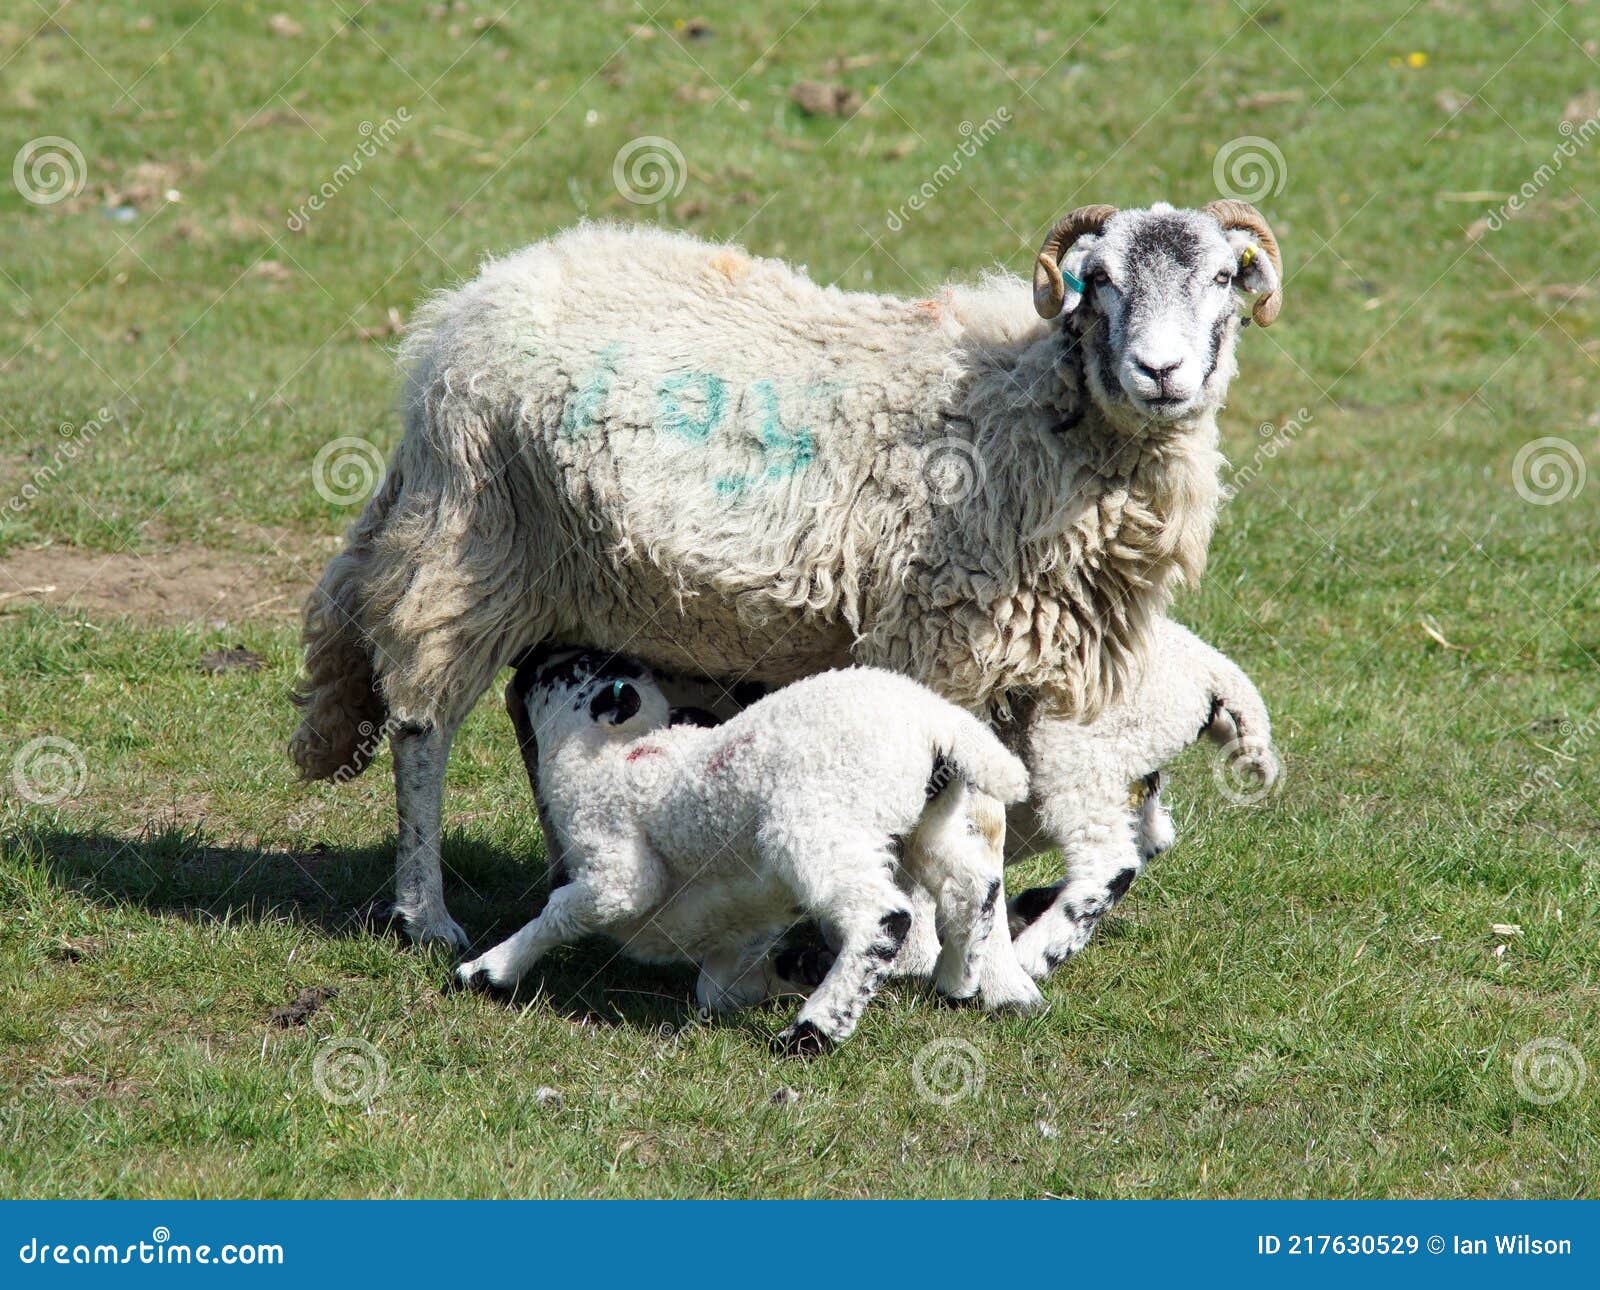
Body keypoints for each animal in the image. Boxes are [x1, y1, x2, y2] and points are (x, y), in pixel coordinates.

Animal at [289, 200, 1285, 995]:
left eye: (1223, 279)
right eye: (1101, 281)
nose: (1161, 373)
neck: (1036, 409)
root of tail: (463, 307)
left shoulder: (1018, 669)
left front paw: (970, 958)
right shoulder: (938, 644)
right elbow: (976, 825)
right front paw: (947, 960)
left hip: (576, 577)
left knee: (524, 710)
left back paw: (565, 863)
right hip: (471, 542)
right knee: (423, 728)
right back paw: (426, 913)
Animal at [455, 651, 1030, 1053]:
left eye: (571, 669)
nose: (530, 656)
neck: (607, 760)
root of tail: (938, 722)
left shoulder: (619, 870)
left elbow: (567, 911)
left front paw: (488, 969)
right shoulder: (737, 923)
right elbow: (717, 990)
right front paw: (795, 968)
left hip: (817, 821)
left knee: (885, 917)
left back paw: (811, 1034)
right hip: (927, 820)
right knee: (974, 881)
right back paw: (958, 978)